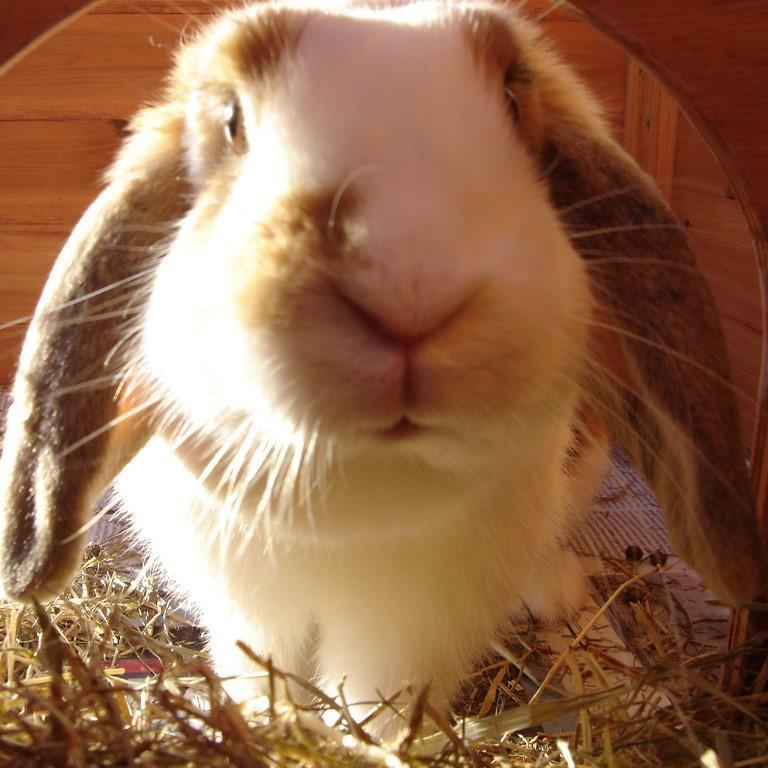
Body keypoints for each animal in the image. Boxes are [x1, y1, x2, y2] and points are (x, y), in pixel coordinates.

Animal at [1, 0, 766, 731]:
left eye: (513, 104)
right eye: (232, 121)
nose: (409, 276)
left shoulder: (420, 617)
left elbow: (382, 704)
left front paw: (366, 743)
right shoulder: (248, 601)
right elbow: (267, 670)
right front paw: (272, 725)